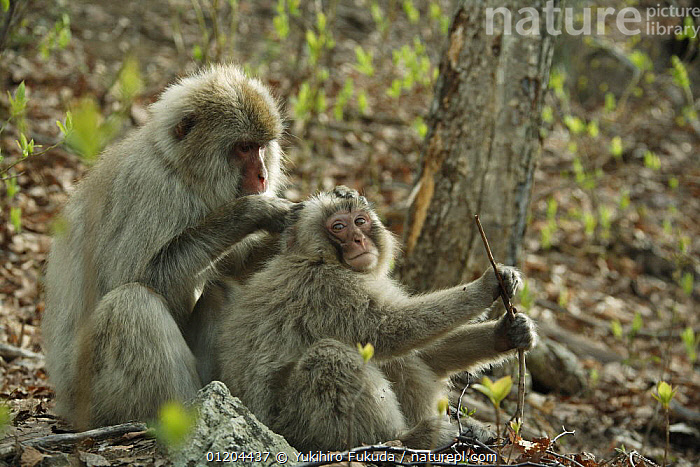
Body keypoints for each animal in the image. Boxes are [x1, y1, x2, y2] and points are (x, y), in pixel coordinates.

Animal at [42, 64, 292, 429]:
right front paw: (251, 213)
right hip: (92, 394)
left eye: (261, 147)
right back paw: (184, 416)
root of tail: (64, 405)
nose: (262, 176)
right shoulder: (153, 190)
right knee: (132, 303)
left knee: (219, 290)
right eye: (244, 148)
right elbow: (136, 276)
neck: (179, 169)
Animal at [216, 186, 537, 451]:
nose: (358, 240)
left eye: (360, 222)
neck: (318, 258)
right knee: (330, 355)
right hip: (294, 425)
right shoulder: (328, 287)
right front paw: (486, 287)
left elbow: (422, 350)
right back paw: (403, 439)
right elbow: (390, 329)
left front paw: (507, 333)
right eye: (338, 227)